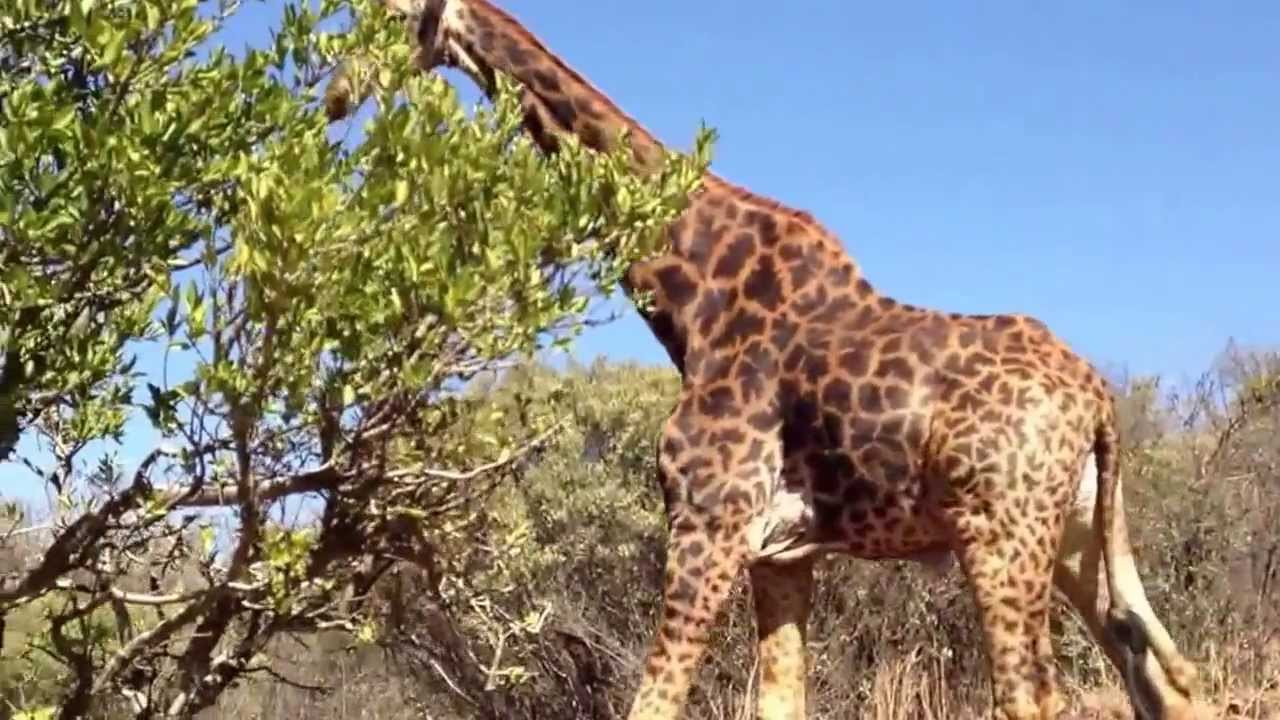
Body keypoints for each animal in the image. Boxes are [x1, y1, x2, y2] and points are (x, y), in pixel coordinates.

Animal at [329, 2, 1203, 718]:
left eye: (392, 12)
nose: (334, 96)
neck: (689, 289)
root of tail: (1098, 398)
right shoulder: (781, 555)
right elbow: (779, 701)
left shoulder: (708, 521)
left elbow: (654, 702)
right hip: (1079, 534)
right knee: (1164, 675)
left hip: (1002, 531)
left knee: (1035, 695)